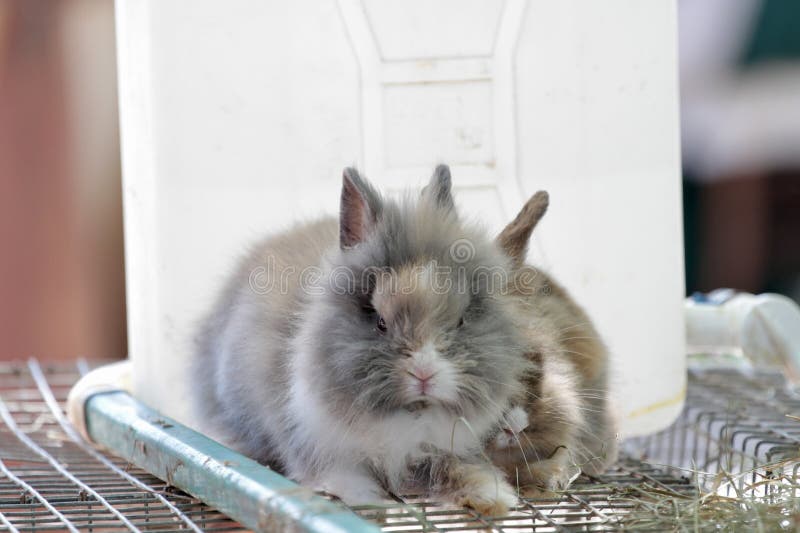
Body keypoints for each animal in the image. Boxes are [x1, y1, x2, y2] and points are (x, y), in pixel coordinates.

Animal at [191, 165, 538, 515]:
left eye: (461, 319)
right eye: (380, 321)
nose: (424, 374)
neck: (407, 417)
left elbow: (451, 466)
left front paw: (493, 496)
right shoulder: (308, 437)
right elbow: (338, 472)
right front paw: (364, 496)